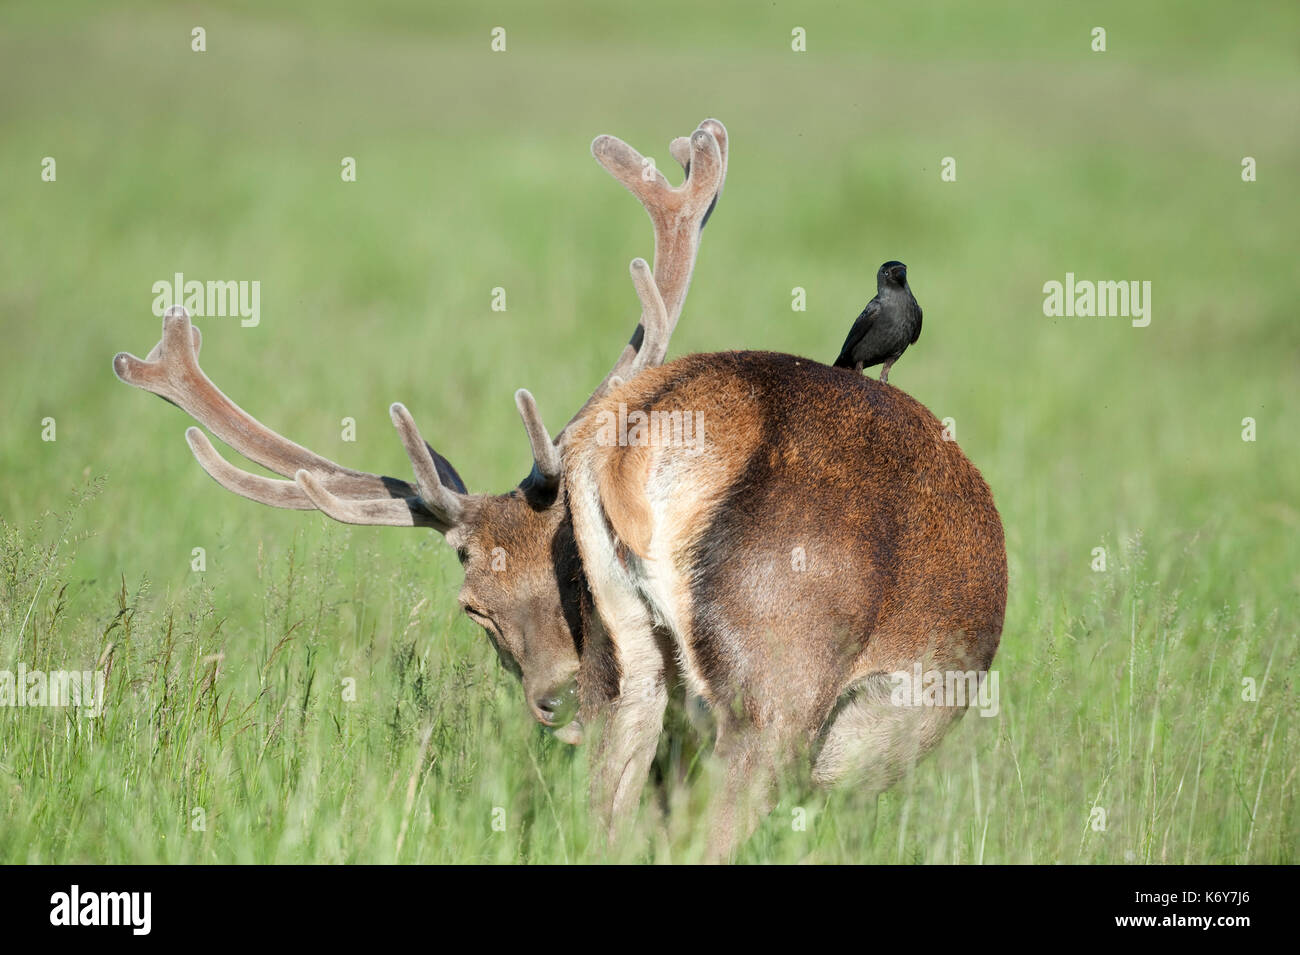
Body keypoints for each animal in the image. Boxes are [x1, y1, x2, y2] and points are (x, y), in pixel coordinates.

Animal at [113, 118, 1007, 861]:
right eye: (473, 605)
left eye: (564, 570)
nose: (553, 695)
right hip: (777, 671)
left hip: (632, 678)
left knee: (606, 819)